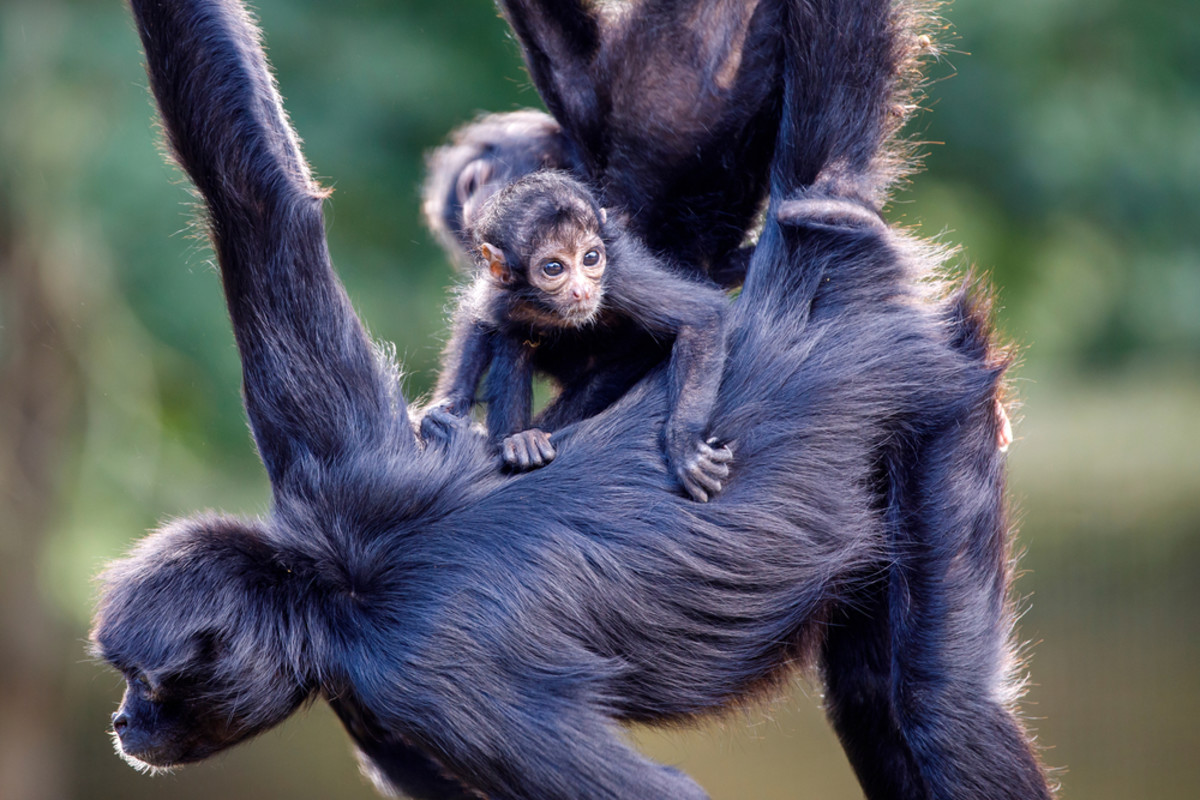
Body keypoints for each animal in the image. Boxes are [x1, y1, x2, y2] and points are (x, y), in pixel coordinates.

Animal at [425, 170, 733, 501]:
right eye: (553, 267)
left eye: (591, 258)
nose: (582, 290)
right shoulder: (503, 289)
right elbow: (477, 319)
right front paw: (444, 405)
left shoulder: (620, 278)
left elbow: (702, 317)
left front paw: (684, 445)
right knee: (513, 338)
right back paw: (520, 440)